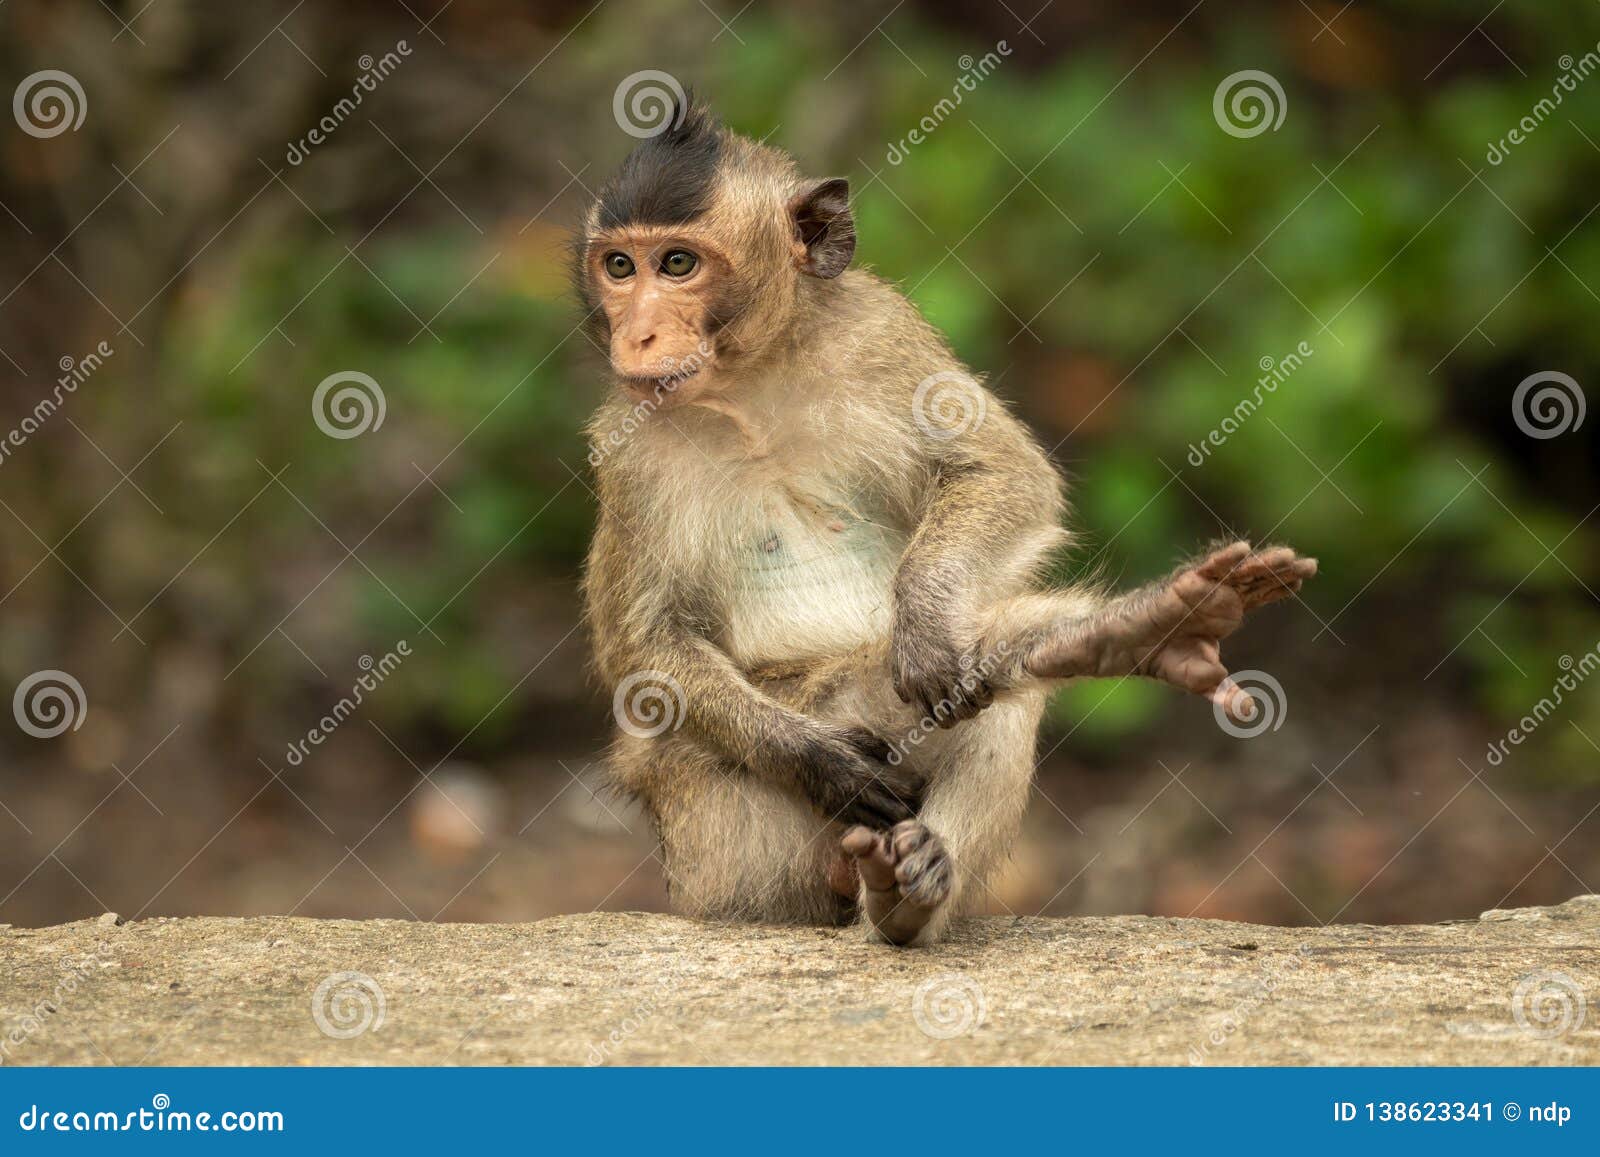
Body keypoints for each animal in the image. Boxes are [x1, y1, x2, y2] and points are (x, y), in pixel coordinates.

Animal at [576, 102, 1316, 946]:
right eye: (619, 267)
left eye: (676, 263)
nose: (637, 335)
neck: (751, 382)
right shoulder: (627, 449)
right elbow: (645, 648)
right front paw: (819, 761)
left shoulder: (881, 338)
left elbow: (1002, 473)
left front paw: (927, 622)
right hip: (722, 843)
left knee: (993, 691)